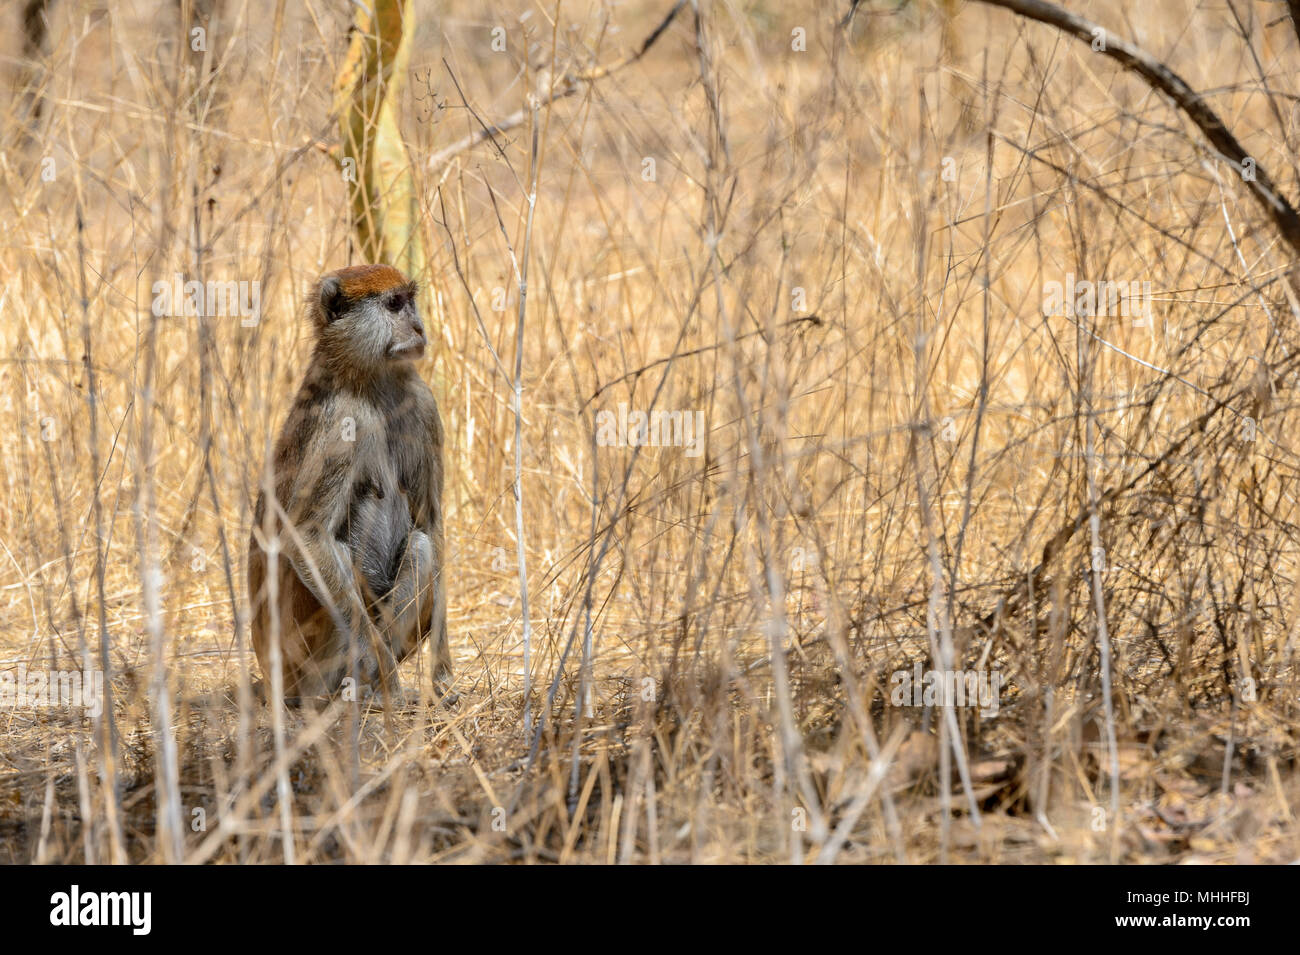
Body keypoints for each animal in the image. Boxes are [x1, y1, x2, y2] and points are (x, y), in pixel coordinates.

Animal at [248, 264, 449, 706]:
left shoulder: (424, 403)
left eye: (410, 301)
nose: (418, 327)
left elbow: (430, 523)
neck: (367, 377)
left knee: (421, 545)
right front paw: (389, 675)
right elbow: (307, 537)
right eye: (393, 304)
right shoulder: (339, 423)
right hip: (306, 660)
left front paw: (442, 673)